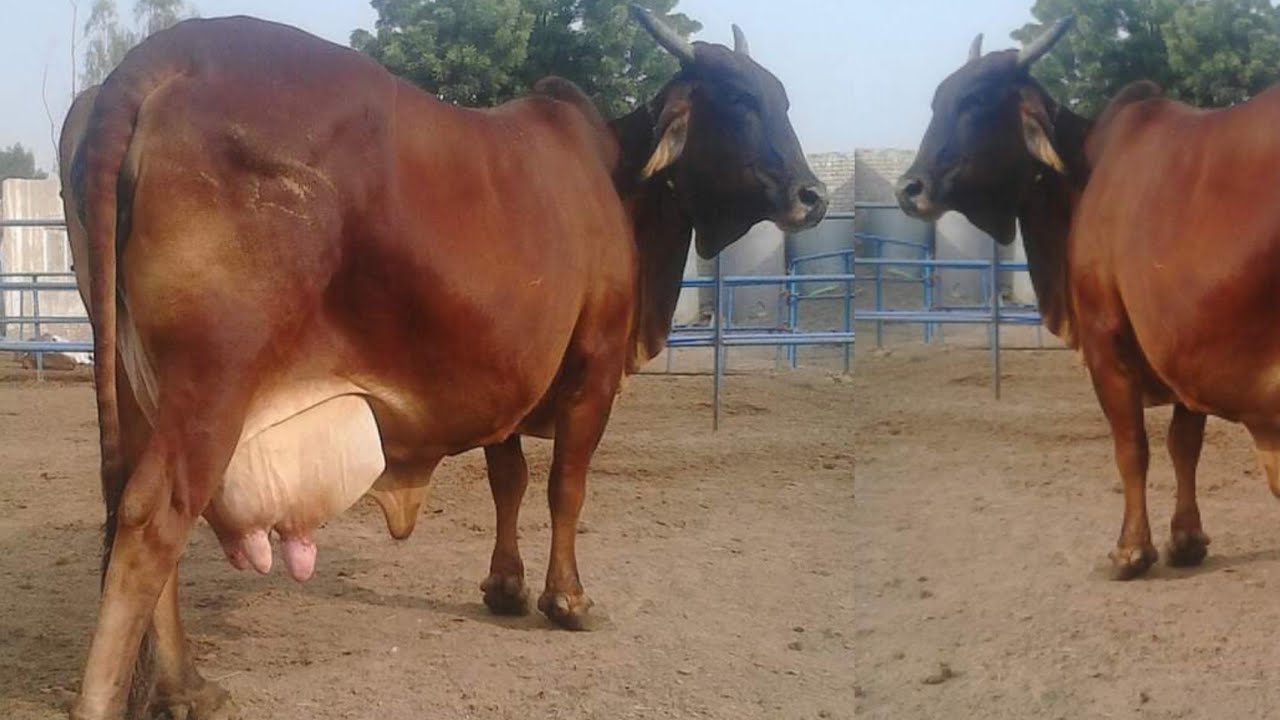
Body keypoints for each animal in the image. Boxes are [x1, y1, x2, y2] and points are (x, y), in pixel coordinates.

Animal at [61, 9, 825, 720]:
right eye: (738, 100)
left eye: (784, 98)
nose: (812, 195)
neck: (620, 184)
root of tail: (162, 58)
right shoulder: (594, 368)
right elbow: (566, 488)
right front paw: (568, 599)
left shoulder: (505, 380)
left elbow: (509, 481)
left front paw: (506, 586)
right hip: (214, 381)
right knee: (153, 517)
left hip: (133, 376)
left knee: (128, 499)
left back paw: (185, 686)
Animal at [897, 18, 1280, 583]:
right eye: (938, 99)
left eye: (977, 100)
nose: (909, 187)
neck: (1084, 172)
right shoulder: (1178, 347)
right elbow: (1183, 445)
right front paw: (1186, 540)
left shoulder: (1107, 339)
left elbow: (1132, 446)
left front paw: (1131, 551)